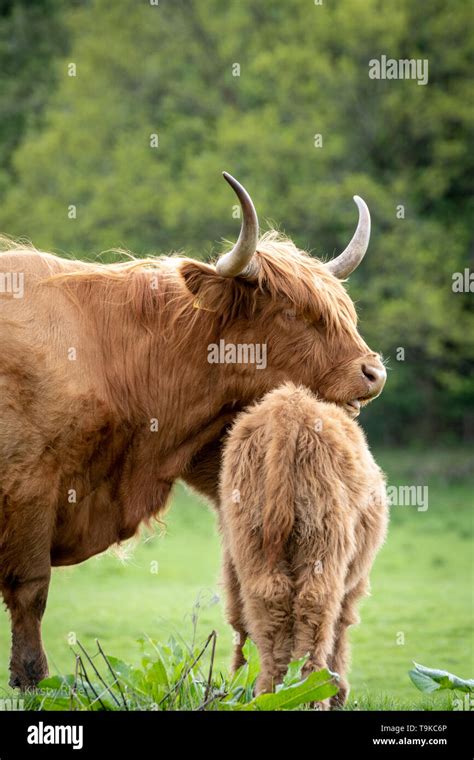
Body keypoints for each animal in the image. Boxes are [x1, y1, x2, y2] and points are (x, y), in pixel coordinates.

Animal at [218, 383, 388, 708]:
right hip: (322, 545)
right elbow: (342, 628)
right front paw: (339, 692)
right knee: (316, 615)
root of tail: (289, 409)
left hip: (253, 543)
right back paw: (312, 694)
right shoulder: (354, 582)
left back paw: (267, 693)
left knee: (266, 613)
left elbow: (239, 622)